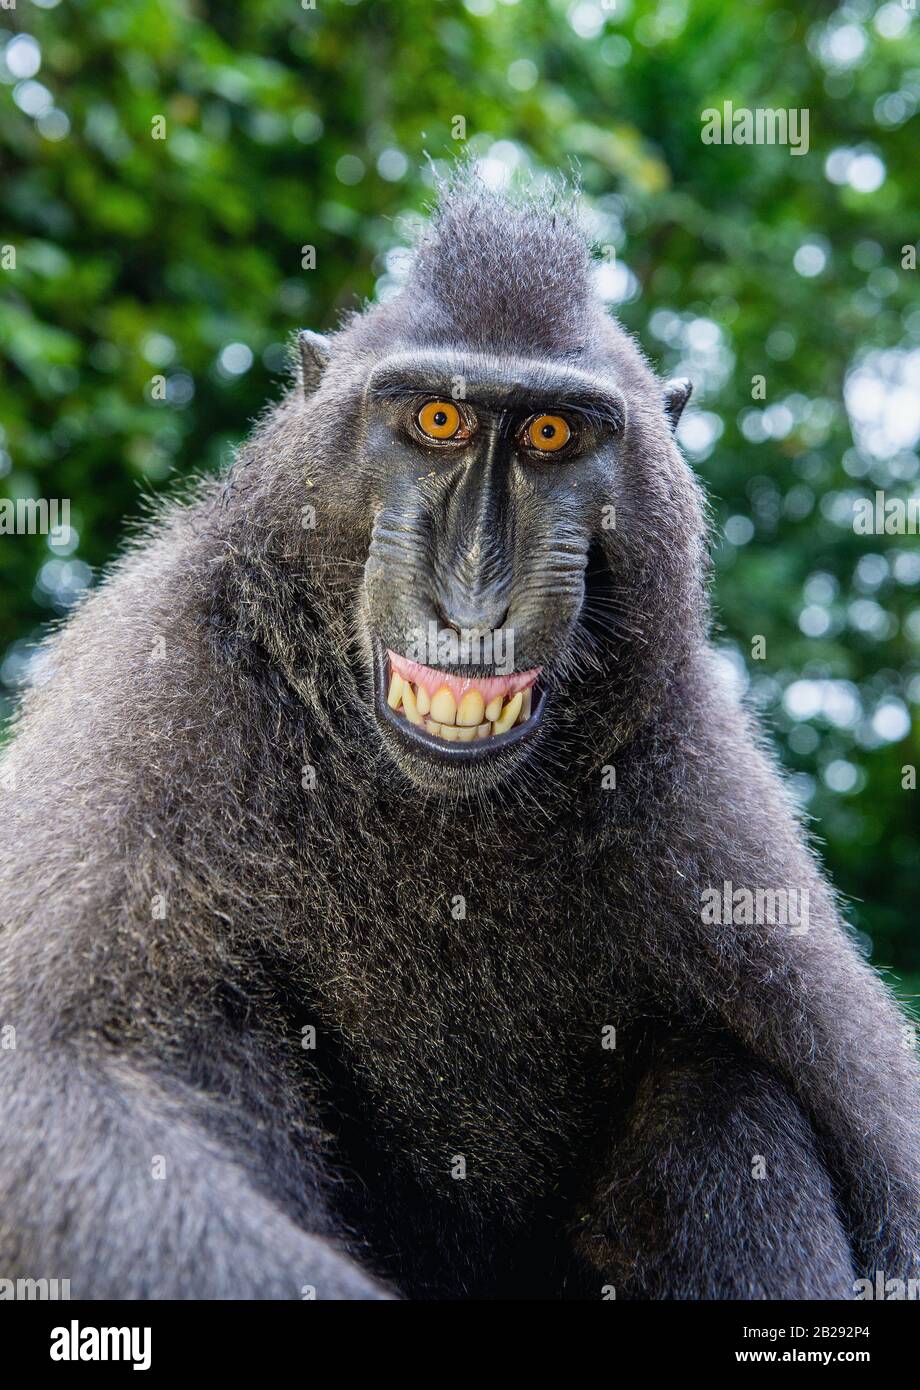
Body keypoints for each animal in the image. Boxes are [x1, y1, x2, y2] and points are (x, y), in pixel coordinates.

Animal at [0, 172, 917, 1301]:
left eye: (551, 437)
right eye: (437, 416)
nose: (473, 600)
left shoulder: (703, 794)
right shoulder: (161, 681)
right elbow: (52, 1083)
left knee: (717, 1088)